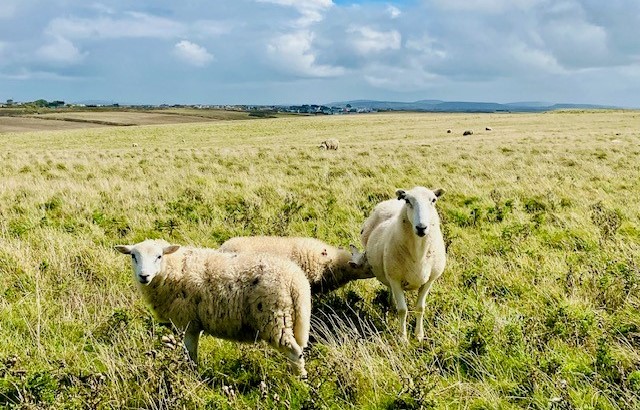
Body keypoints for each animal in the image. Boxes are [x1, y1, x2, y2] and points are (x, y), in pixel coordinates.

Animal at [114, 239, 311, 377]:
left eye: (159, 256)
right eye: (133, 256)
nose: (144, 276)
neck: (173, 269)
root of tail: (296, 280)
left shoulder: (189, 323)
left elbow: (190, 354)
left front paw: (191, 375)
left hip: (275, 317)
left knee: (295, 353)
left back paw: (299, 382)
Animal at [361, 187, 446, 342]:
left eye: (433, 200)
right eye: (407, 201)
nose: (421, 227)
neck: (419, 253)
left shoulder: (429, 281)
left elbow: (420, 308)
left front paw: (419, 335)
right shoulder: (395, 278)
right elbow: (403, 310)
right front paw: (403, 338)